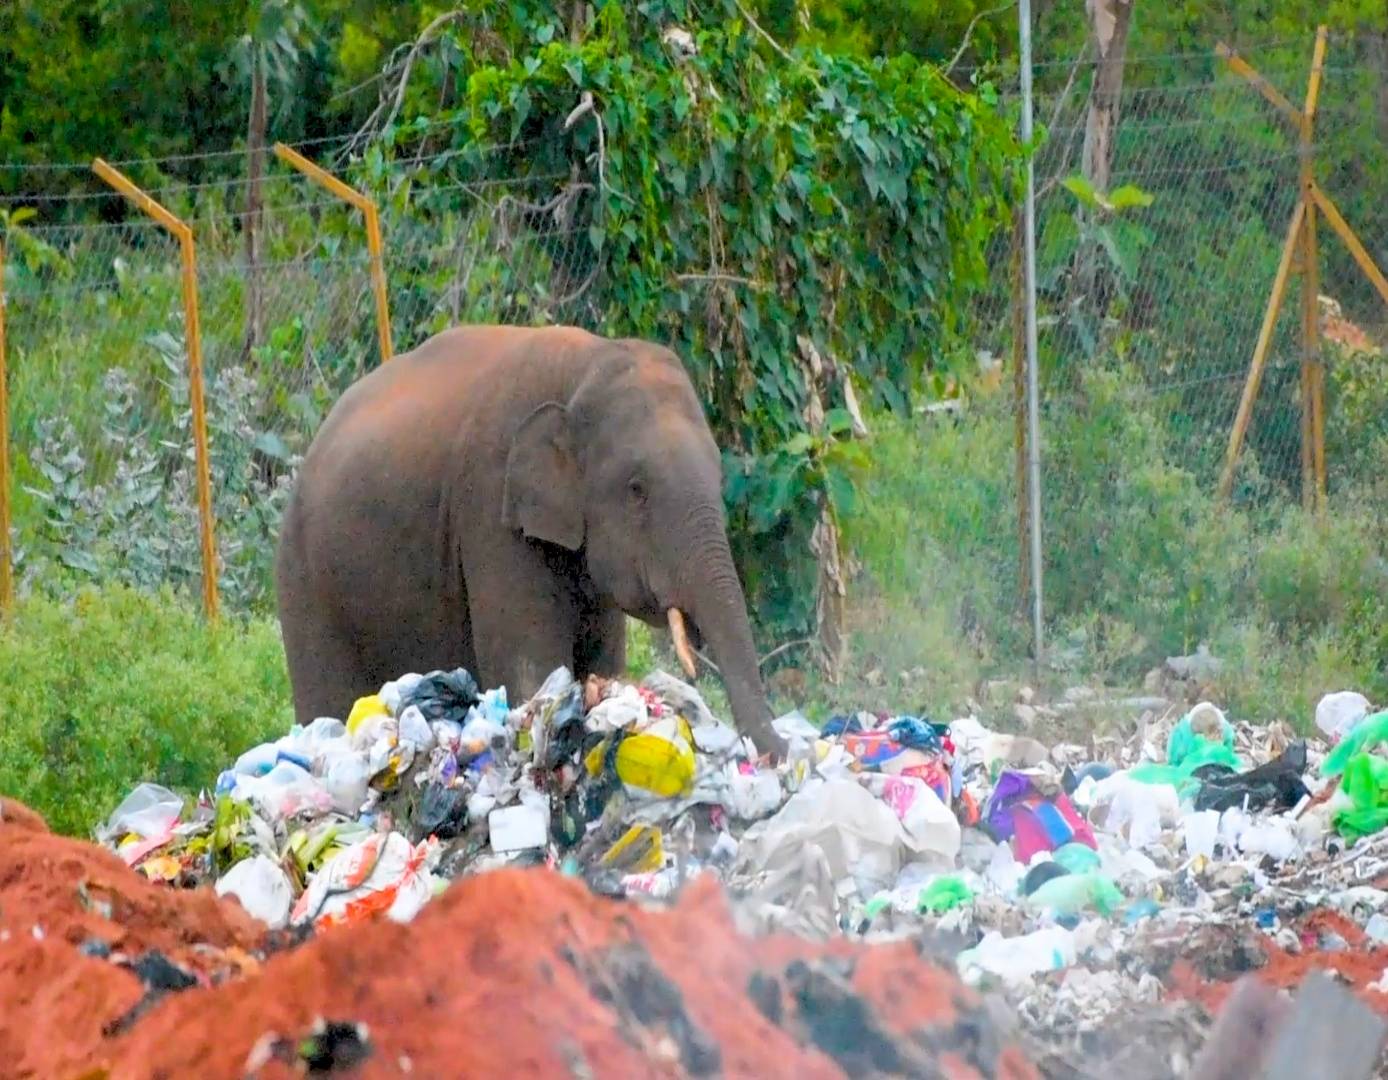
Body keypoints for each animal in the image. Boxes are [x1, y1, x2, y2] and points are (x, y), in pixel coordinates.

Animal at [274, 323, 785, 756]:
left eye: (719, 477)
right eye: (637, 489)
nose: (778, 752)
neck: (585, 364)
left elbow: (600, 661)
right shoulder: (490, 509)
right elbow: (529, 668)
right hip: (305, 585)